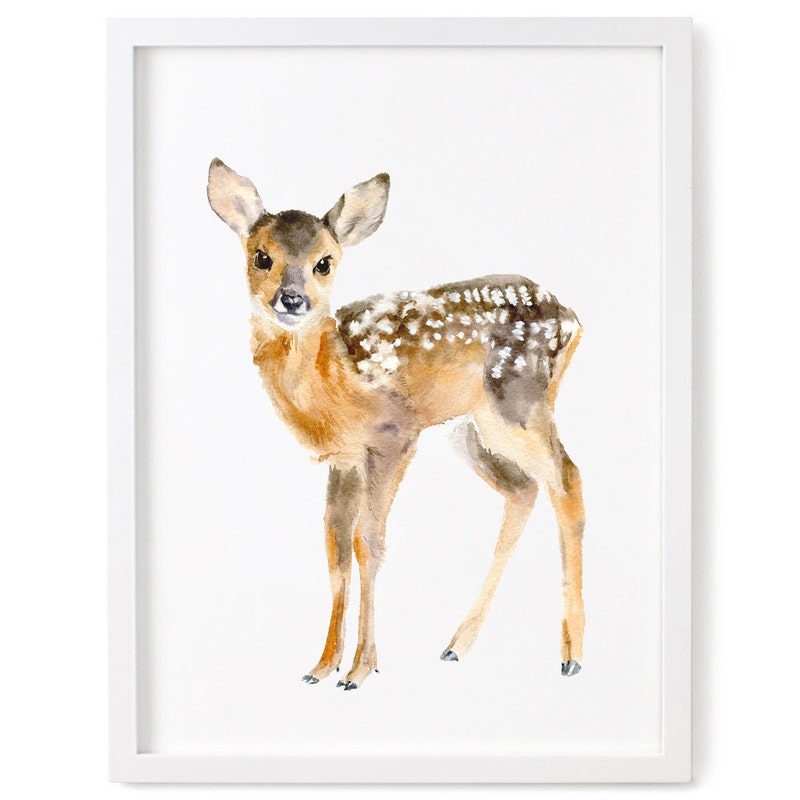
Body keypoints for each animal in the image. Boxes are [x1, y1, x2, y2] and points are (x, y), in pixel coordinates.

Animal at [207, 159, 586, 690]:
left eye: (325, 262)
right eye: (262, 257)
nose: (292, 299)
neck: (336, 376)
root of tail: (573, 319)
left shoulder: (393, 437)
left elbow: (369, 543)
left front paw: (359, 670)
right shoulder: (344, 459)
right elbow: (335, 548)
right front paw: (321, 666)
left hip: (519, 404)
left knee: (567, 479)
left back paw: (571, 655)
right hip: (470, 430)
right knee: (524, 489)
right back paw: (456, 645)